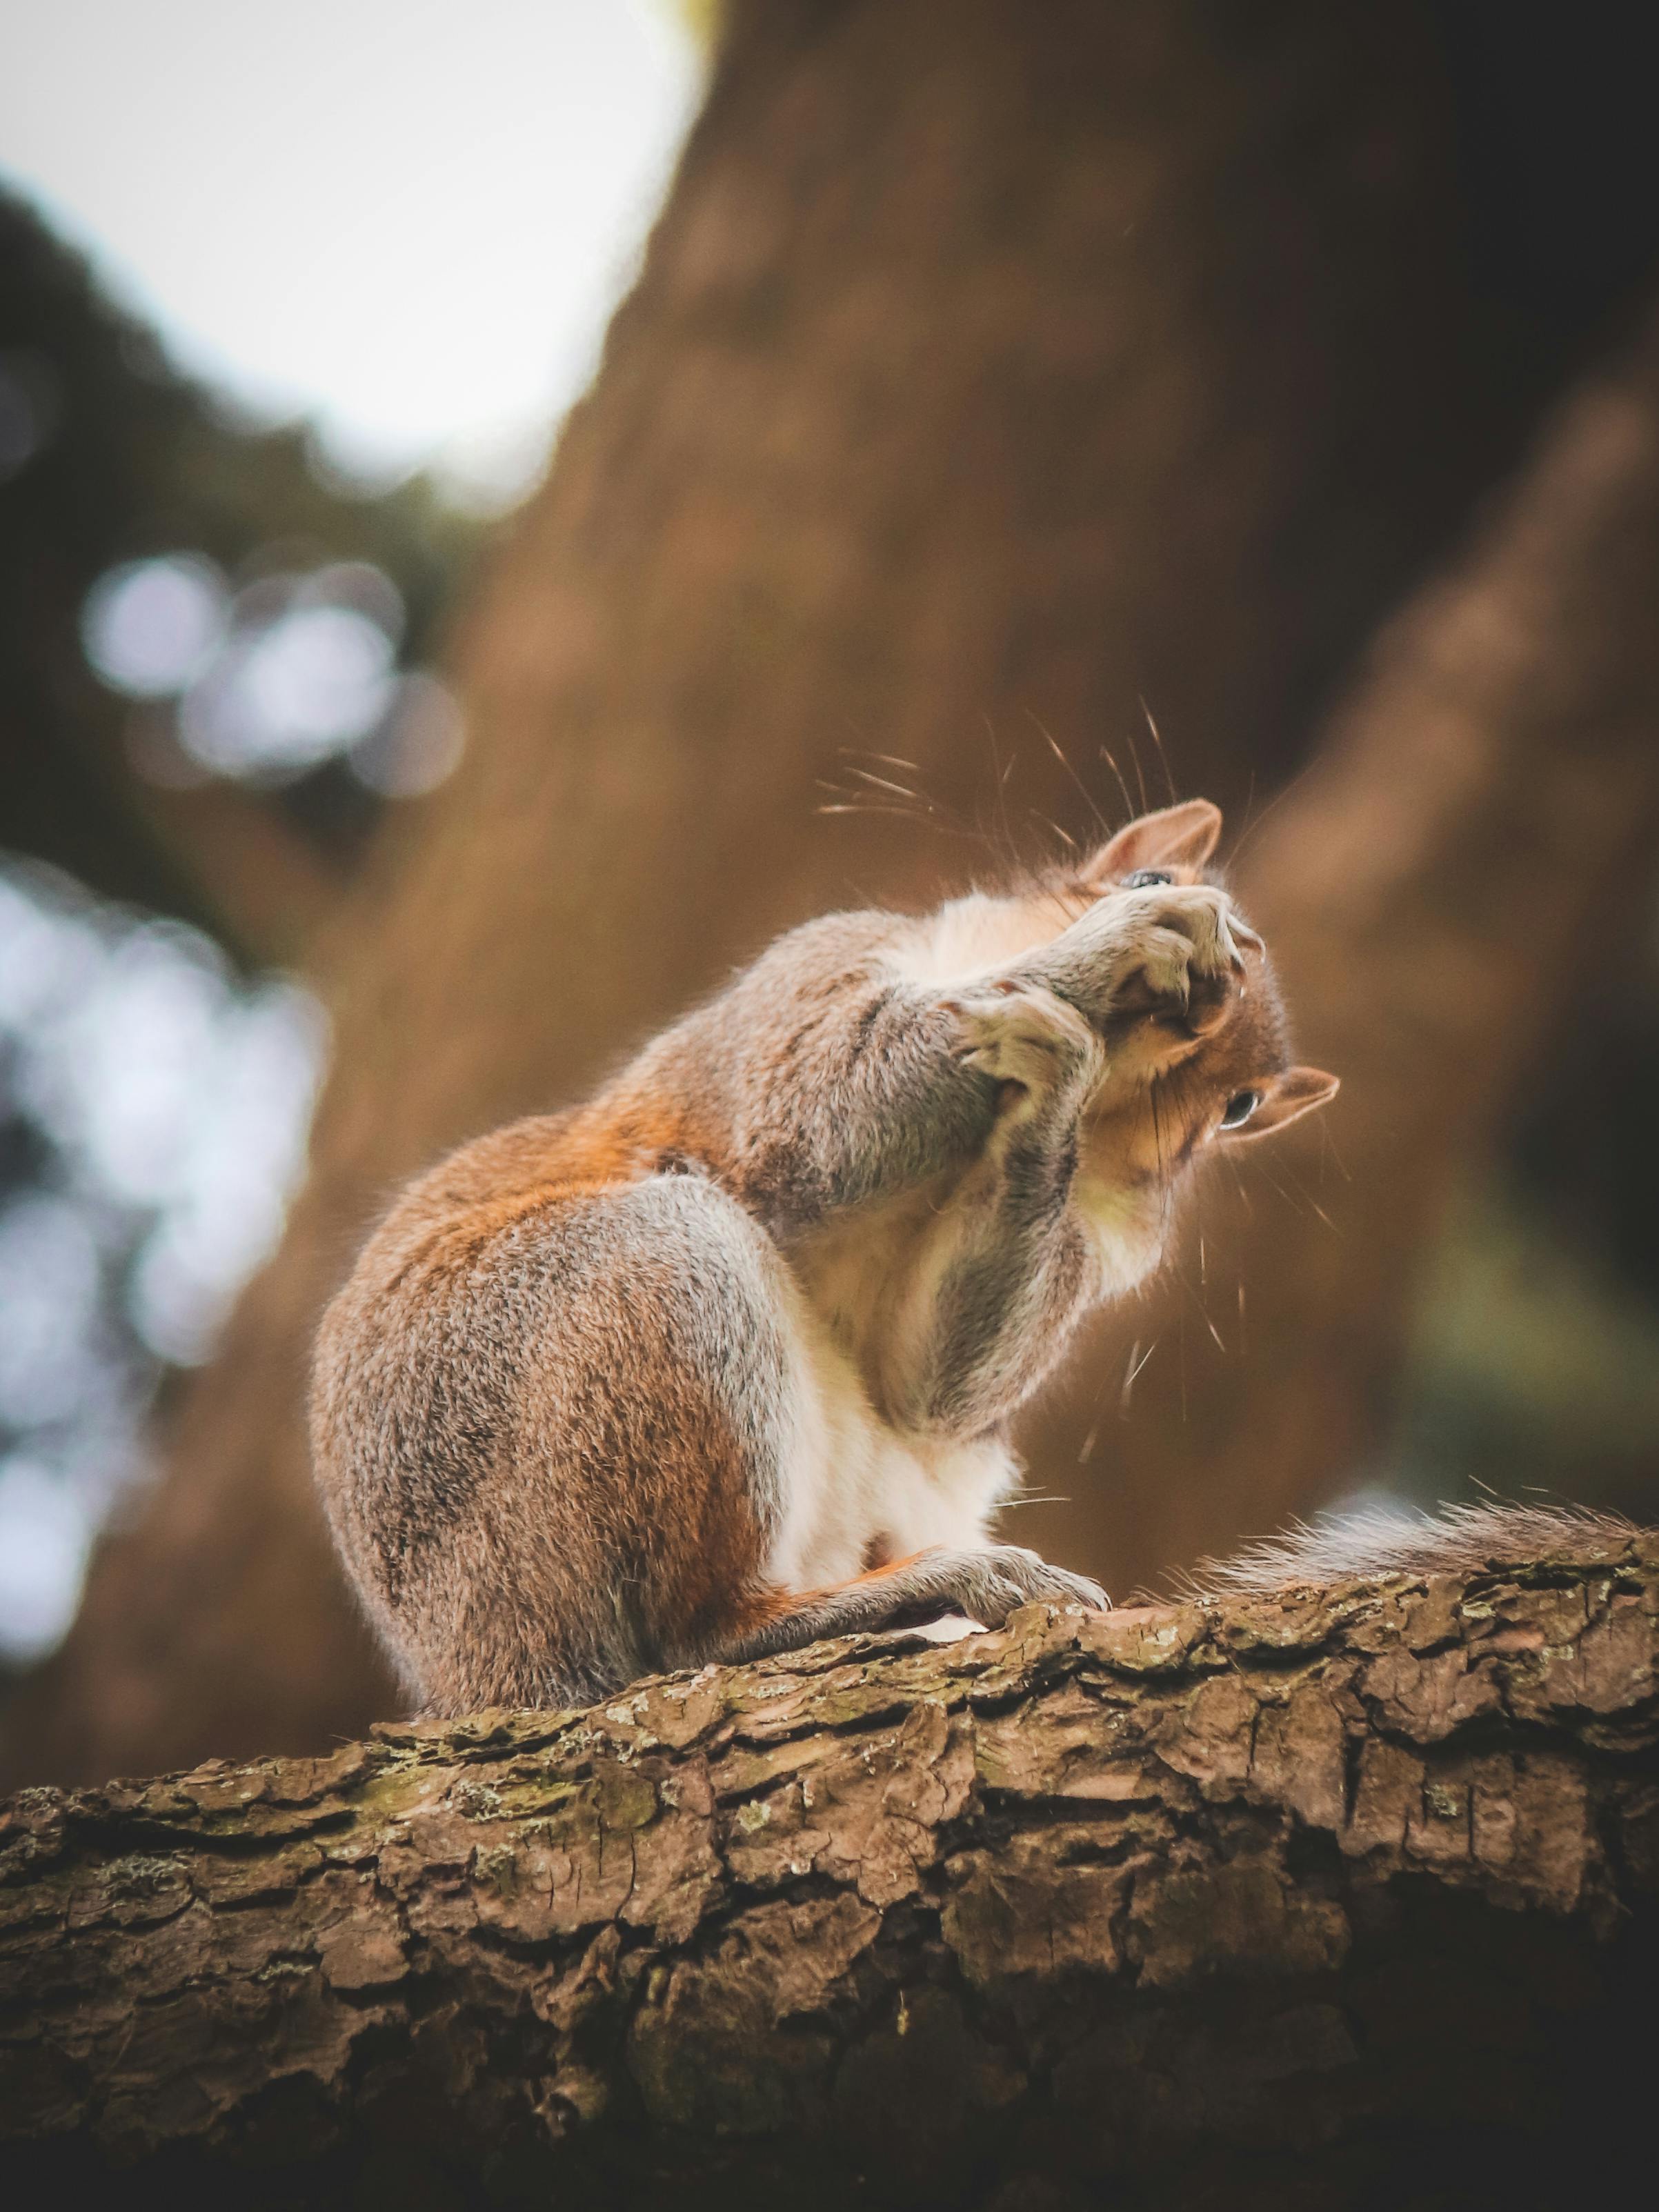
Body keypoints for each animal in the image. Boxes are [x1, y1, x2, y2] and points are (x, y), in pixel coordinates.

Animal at [310, 797, 1340, 1717]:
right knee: (697, 1630)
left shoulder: (1087, 1242)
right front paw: (1107, 951)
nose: (1205, 1007)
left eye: (1240, 1105)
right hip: (642, 1286)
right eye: (1148, 876)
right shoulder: (811, 973)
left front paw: (1062, 1079)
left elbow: (931, 1390)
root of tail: (475, 1665)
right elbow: (814, 1106)